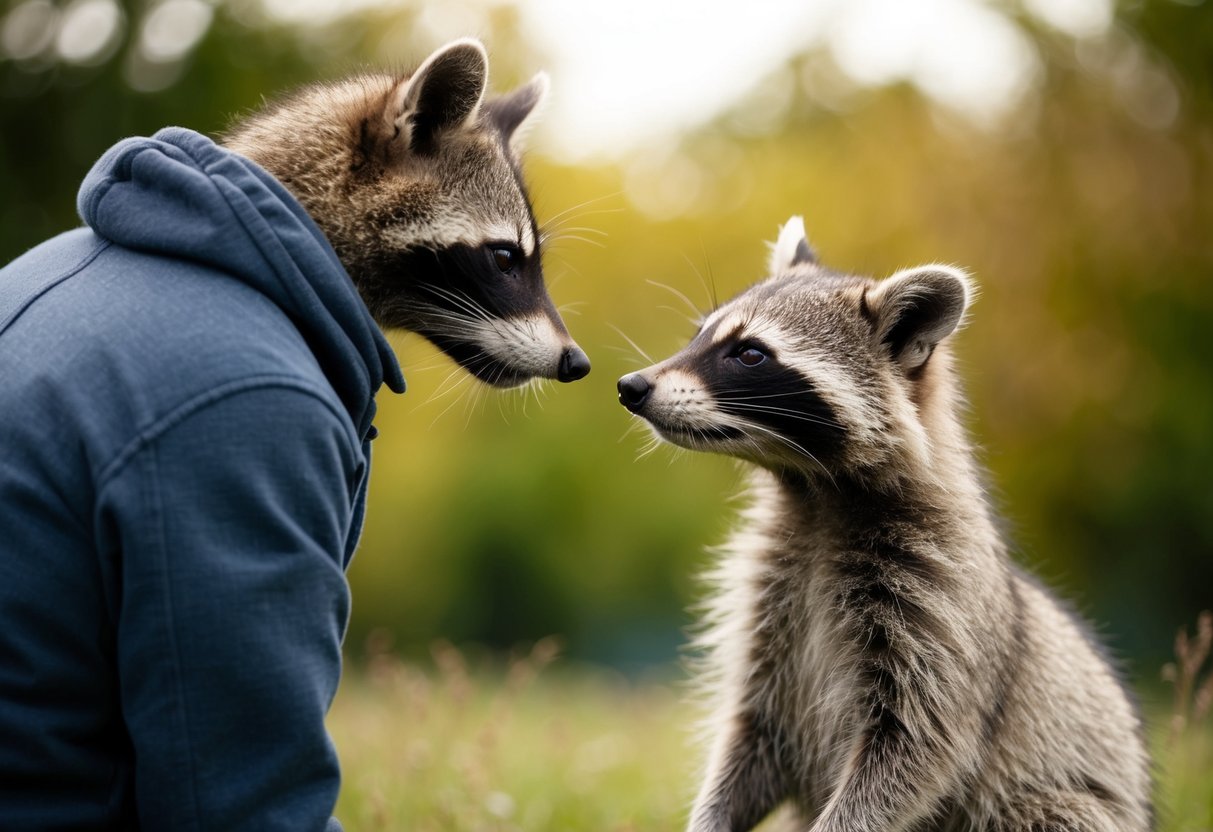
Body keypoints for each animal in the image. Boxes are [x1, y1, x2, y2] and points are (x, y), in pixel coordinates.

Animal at [617, 217, 1152, 831]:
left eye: (750, 354)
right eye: (699, 335)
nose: (631, 386)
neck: (815, 496)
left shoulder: (940, 606)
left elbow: (912, 751)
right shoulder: (767, 607)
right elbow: (752, 734)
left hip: (1060, 803)